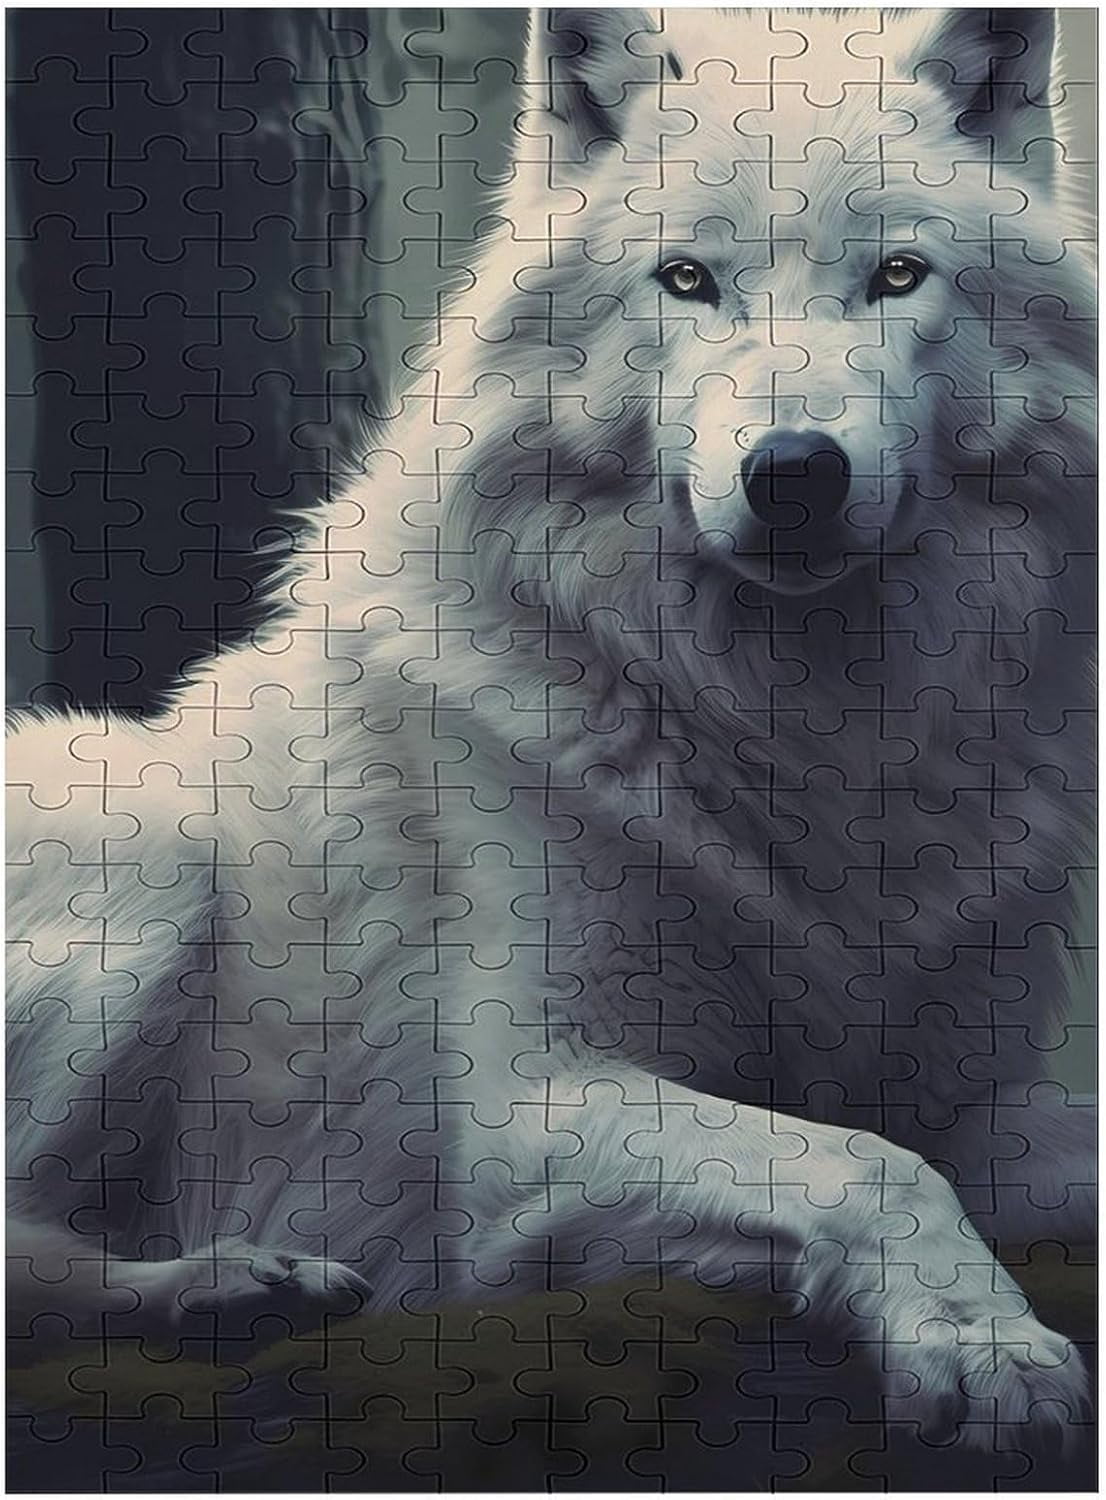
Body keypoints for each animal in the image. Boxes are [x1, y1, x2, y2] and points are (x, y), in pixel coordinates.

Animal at [8, 7, 1095, 1446]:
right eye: (684, 280)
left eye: (897, 276)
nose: (791, 471)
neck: (802, 743)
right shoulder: (520, 1119)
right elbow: (864, 1165)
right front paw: (979, 1346)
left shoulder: (977, 1098)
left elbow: (934, 1146)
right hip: (149, 848)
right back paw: (227, 1284)